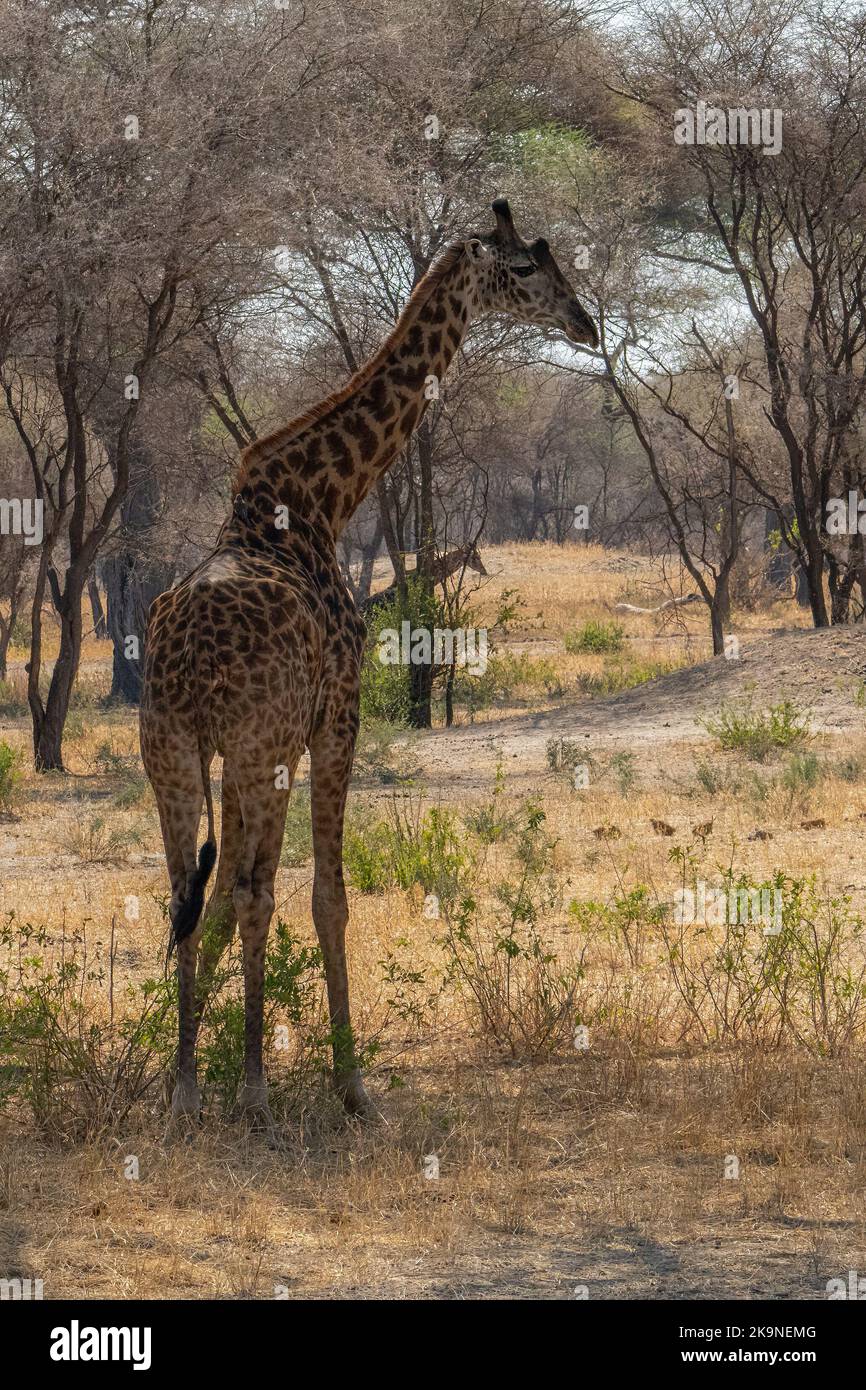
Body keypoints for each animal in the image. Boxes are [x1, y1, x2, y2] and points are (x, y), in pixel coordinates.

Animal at [140, 198, 597, 1132]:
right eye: (526, 269)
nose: (587, 322)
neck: (319, 500)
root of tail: (188, 664)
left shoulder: (256, 749)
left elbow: (219, 904)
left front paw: (193, 1079)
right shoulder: (334, 718)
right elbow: (327, 898)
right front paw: (352, 1088)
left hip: (172, 754)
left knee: (184, 895)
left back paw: (184, 1093)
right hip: (250, 751)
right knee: (252, 894)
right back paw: (256, 1096)